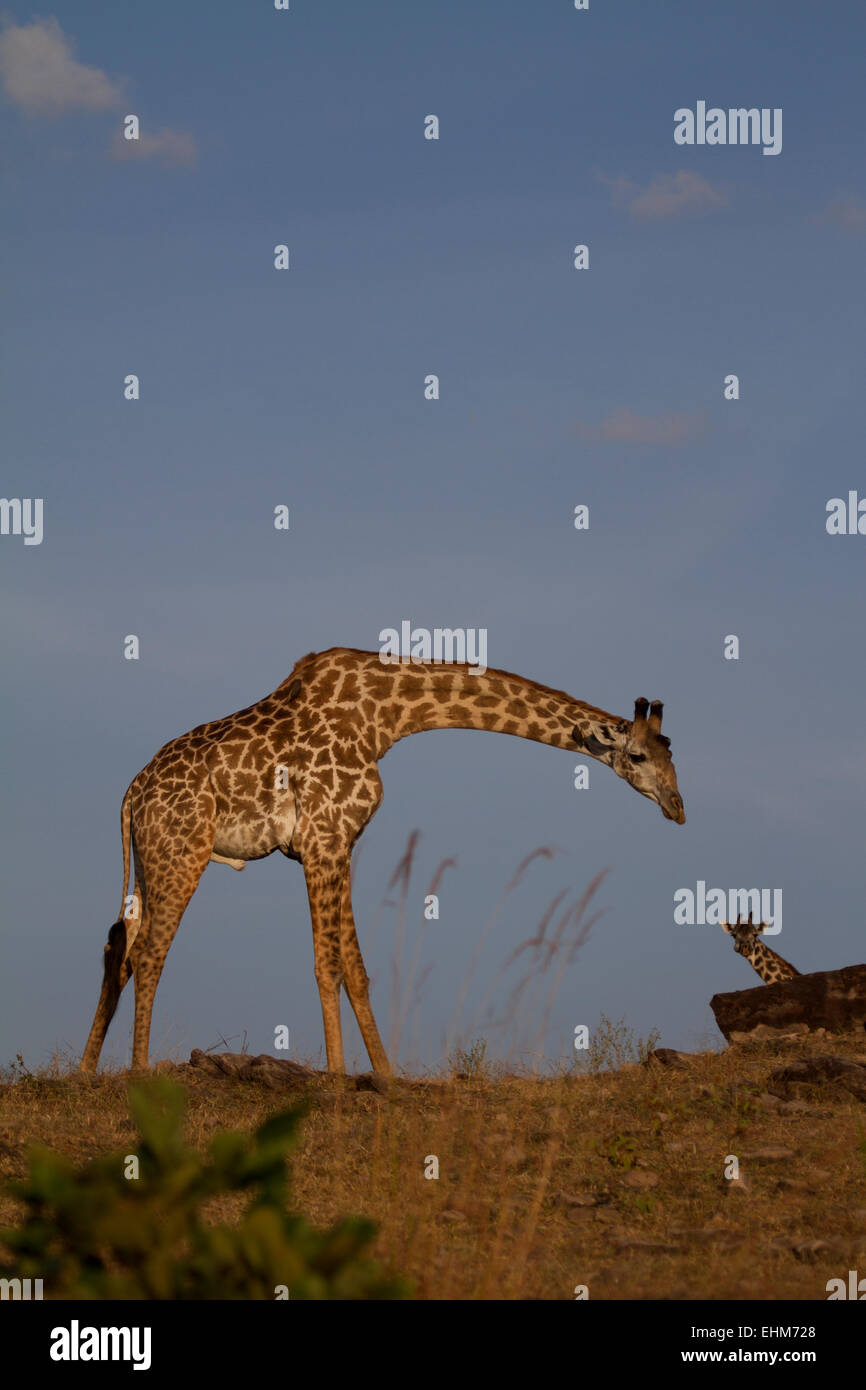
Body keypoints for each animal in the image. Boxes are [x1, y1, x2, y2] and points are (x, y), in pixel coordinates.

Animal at [80, 647, 686, 1076]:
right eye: (636, 756)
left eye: (672, 751)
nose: (678, 808)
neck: (387, 716)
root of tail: (132, 794)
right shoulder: (323, 837)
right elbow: (327, 963)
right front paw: (337, 1075)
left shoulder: (340, 842)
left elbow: (356, 968)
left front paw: (386, 1076)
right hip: (183, 852)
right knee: (150, 953)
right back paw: (138, 1072)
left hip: (149, 860)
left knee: (118, 946)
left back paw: (88, 1071)